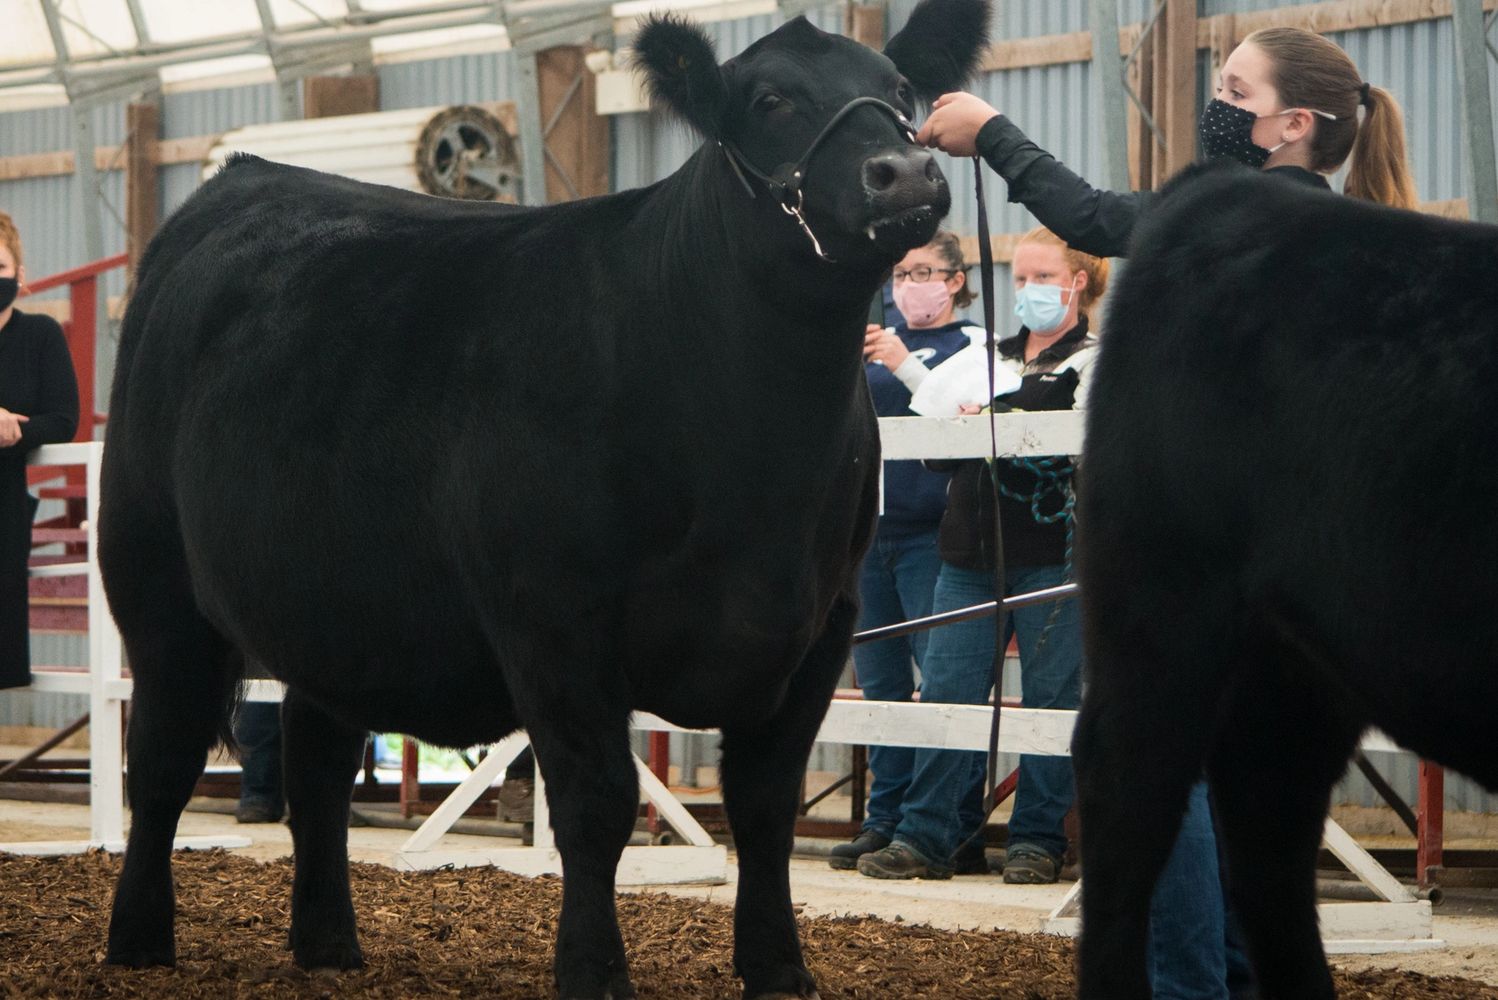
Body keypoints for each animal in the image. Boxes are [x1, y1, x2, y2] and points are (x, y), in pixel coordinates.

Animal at [96, 3, 990, 998]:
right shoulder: (555, 618)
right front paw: (594, 971)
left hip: (336, 603)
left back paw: (328, 942)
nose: (904, 170)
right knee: (163, 756)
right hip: (152, 575)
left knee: (316, 760)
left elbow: (764, 807)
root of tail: (246, 175)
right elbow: (597, 805)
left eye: (901, 88)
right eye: (769, 100)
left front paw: (779, 971)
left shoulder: (822, 621)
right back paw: (138, 939)